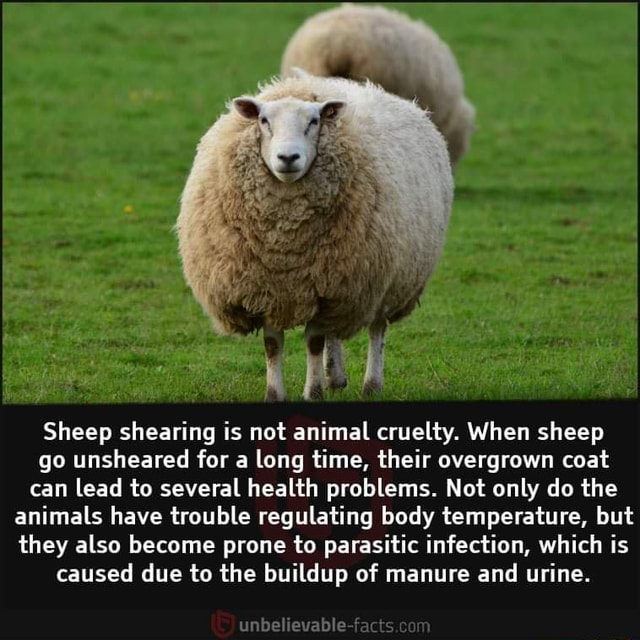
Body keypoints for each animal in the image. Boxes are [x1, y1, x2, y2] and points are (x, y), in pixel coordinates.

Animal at [176, 72, 453, 401]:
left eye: (314, 121)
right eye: (264, 121)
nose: (288, 157)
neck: (284, 242)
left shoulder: (327, 288)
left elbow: (313, 342)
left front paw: (313, 392)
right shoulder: (269, 288)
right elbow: (273, 345)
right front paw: (275, 394)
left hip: (382, 280)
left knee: (377, 328)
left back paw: (371, 384)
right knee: (337, 333)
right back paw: (335, 376)